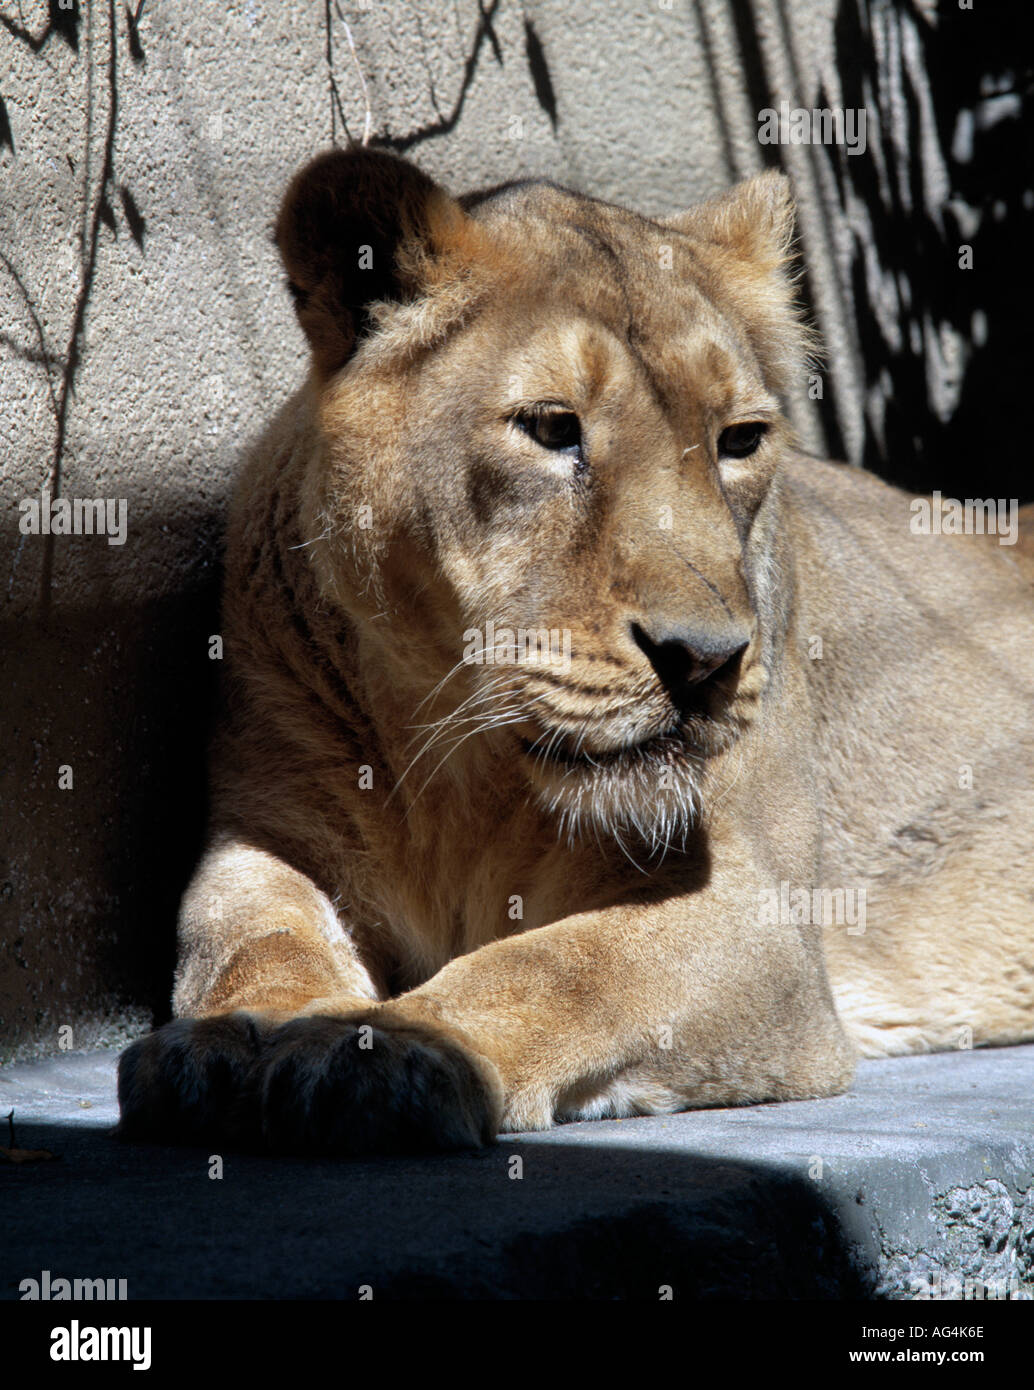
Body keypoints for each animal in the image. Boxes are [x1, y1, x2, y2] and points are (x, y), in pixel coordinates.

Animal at [117, 148, 1034, 1155]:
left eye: (740, 439)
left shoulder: (764, 920)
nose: (705, 661)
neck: (463, 774)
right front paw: (232, 1037)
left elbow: (557, 968)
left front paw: (383, 1046)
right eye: (554, 429)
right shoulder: (268, 837)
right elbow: (252, 941)